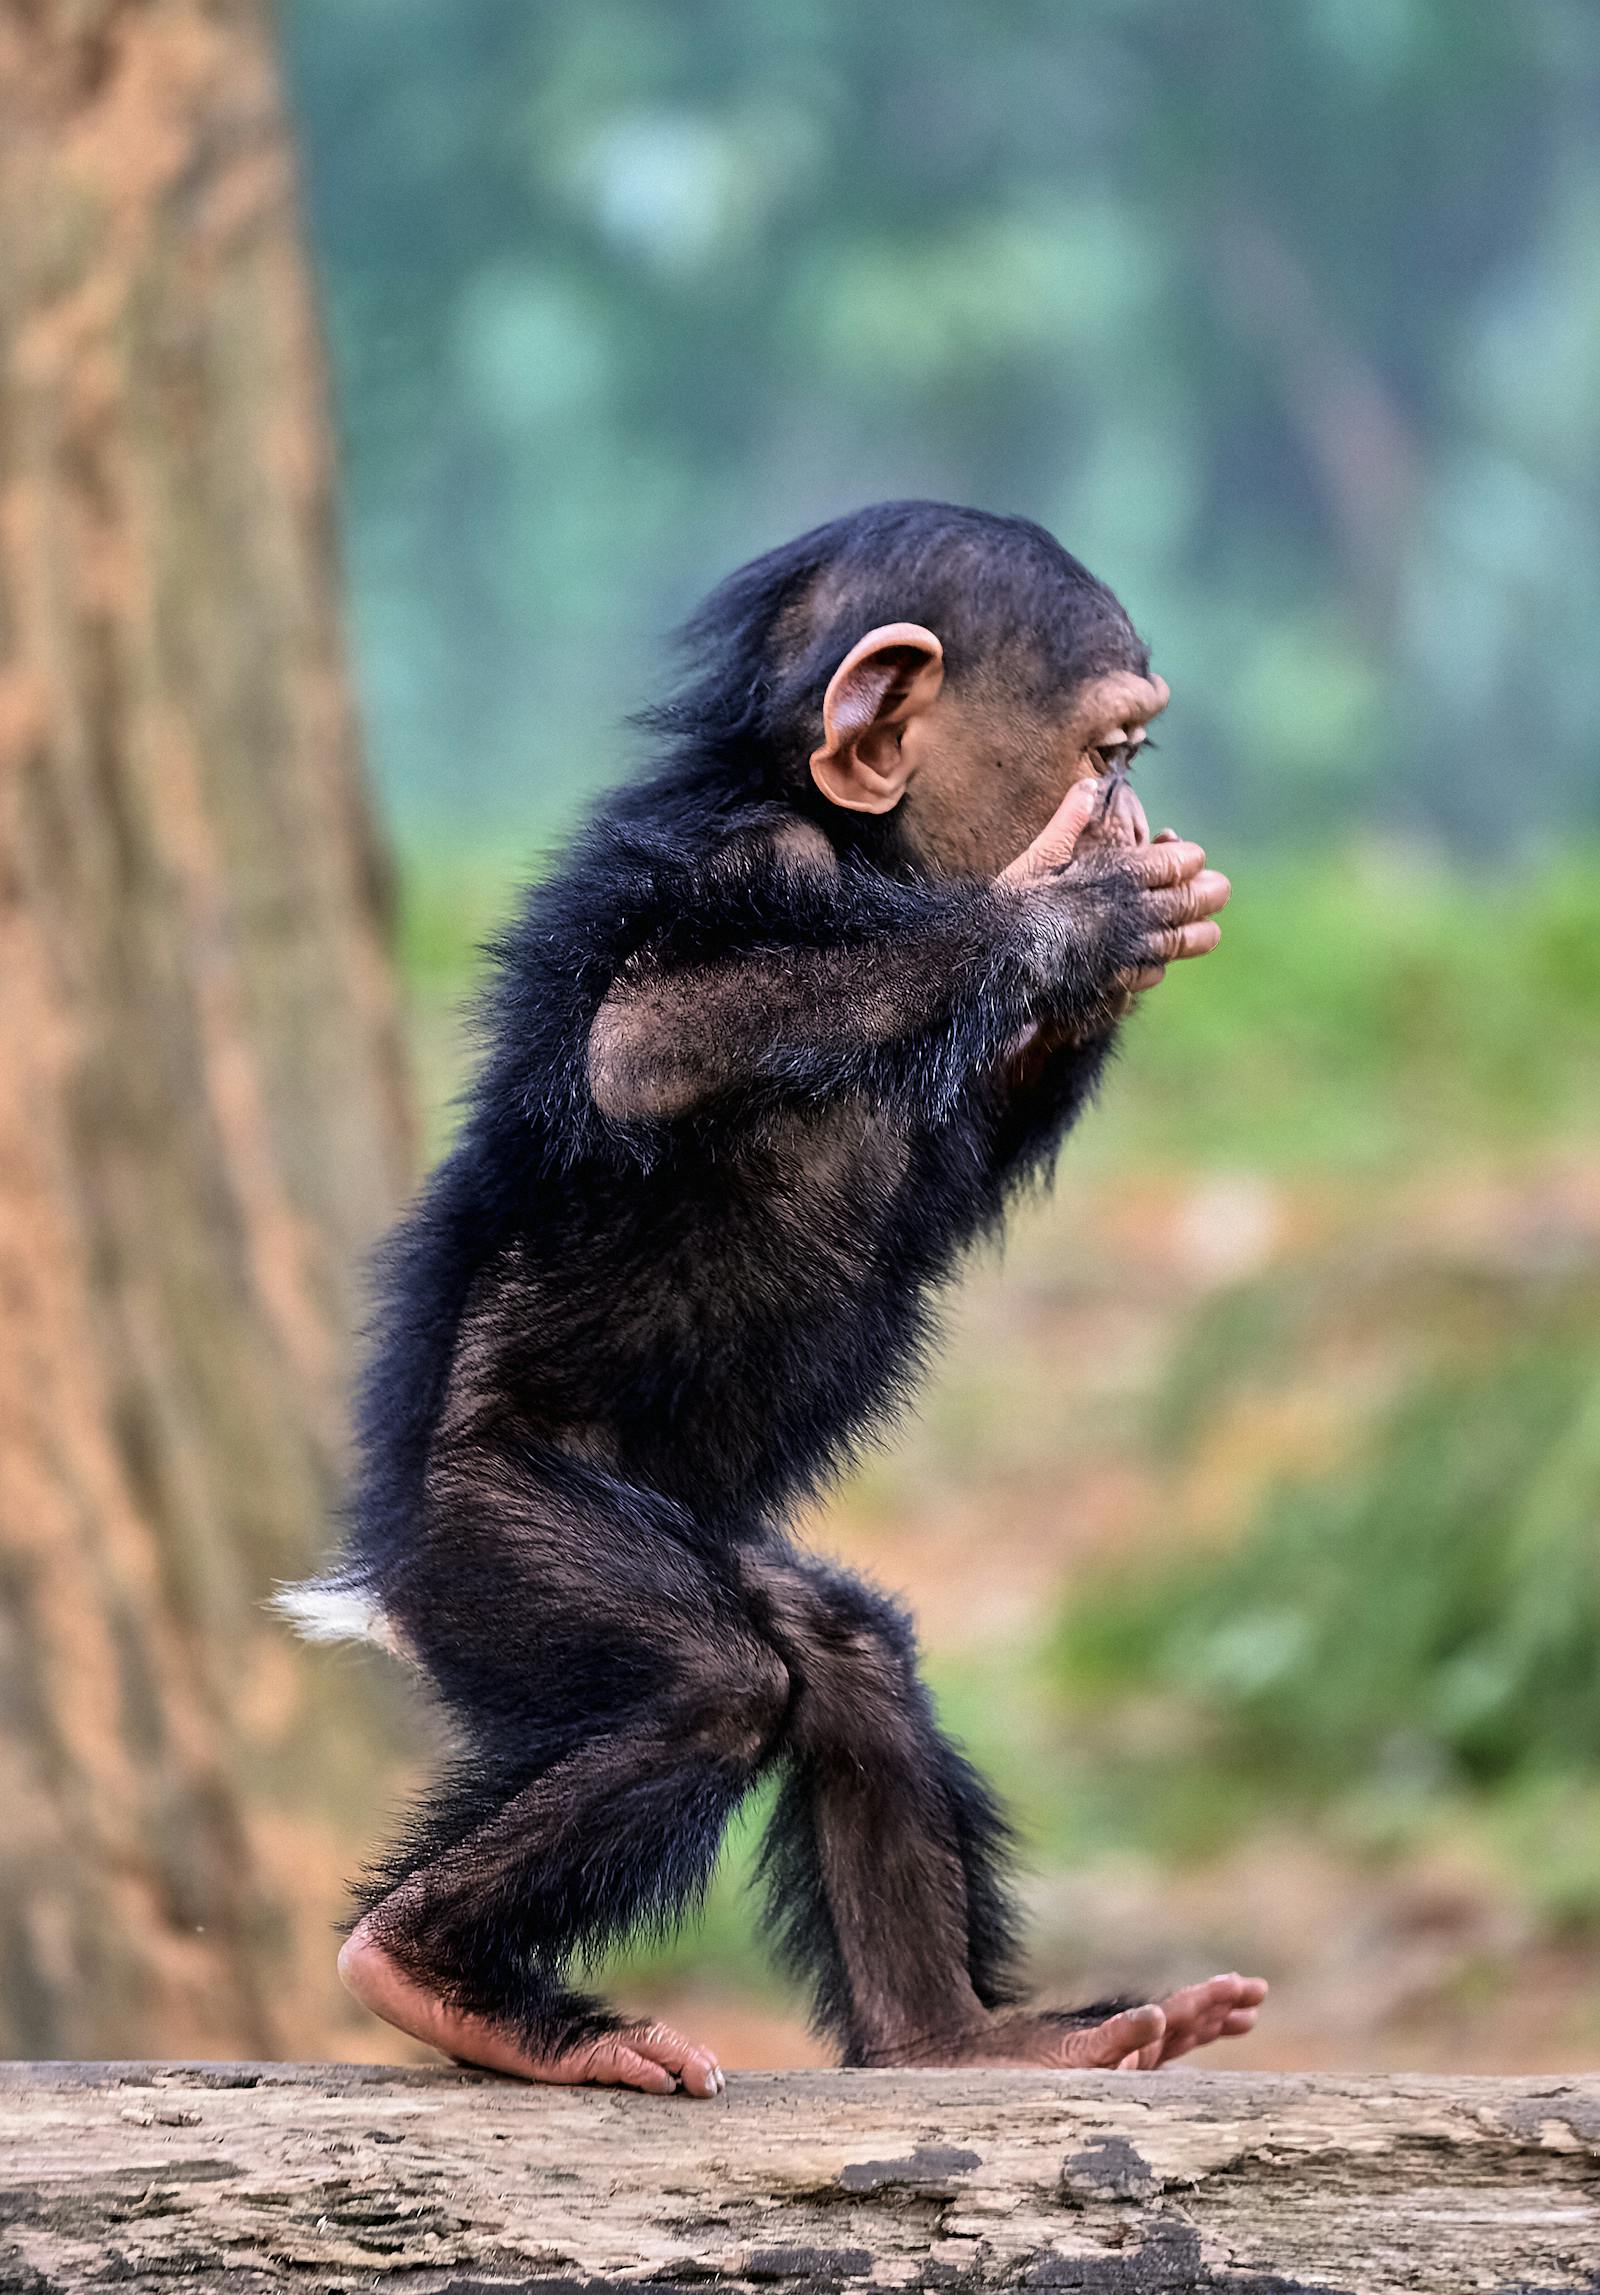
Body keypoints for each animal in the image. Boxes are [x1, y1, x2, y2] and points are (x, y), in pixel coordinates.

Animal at [280, 500, 1261, 2097]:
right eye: (1112, 747)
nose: (1128, 807)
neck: (866, 846)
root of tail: (378, 1585)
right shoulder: (750, 863)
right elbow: (648, 1034)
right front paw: (1072, 920)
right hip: (494, 1545)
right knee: (710, 1683)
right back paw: (436, 1974)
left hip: (716, 1545)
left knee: (846, 1661)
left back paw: (957, 2034)